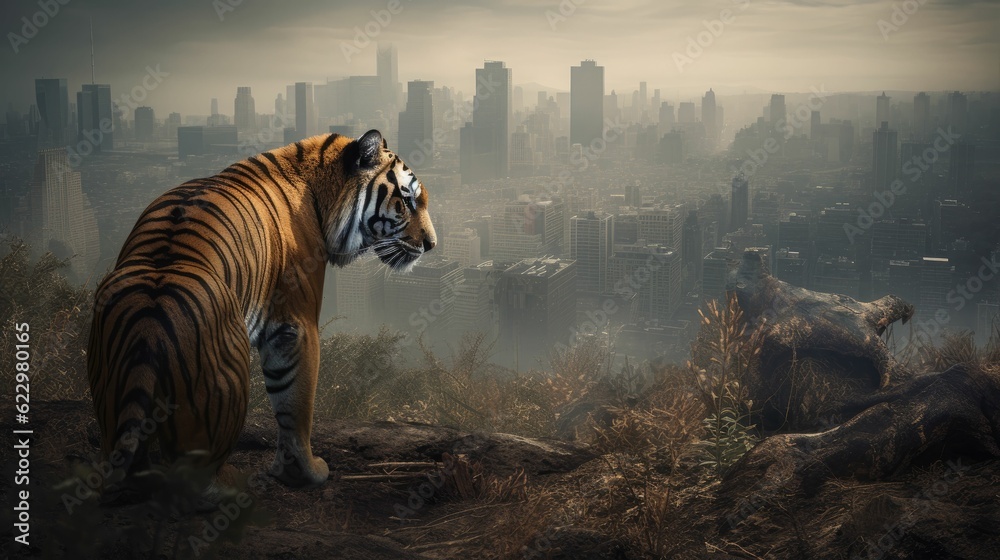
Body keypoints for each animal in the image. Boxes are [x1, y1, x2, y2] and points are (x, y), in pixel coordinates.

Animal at [87, 129, 435, 498]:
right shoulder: (296, 325)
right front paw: (303, 472)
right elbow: (295, 408)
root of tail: (149, 322)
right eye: (407, 201)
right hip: (228, 378)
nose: (432, 245)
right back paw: (231, 484)